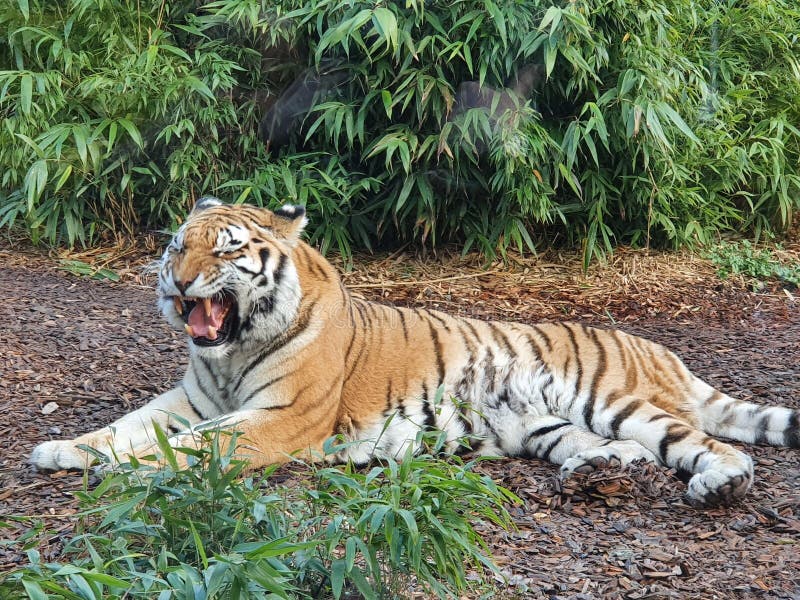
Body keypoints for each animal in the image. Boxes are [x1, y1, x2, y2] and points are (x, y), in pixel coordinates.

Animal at [29, 198, 799, 506]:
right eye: (175, 246)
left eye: (224, 250)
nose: (180, 281)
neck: (231, 350)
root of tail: (668, 354)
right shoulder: (186, 400)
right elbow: (124, 427)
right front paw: (61, 449)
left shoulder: (281, 418)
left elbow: (193, 446)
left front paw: (125, 472)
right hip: (545, 424)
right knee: (621, 452)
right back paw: (594, 472)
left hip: (616, 400)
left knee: (709, 446)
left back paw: (718, 486)